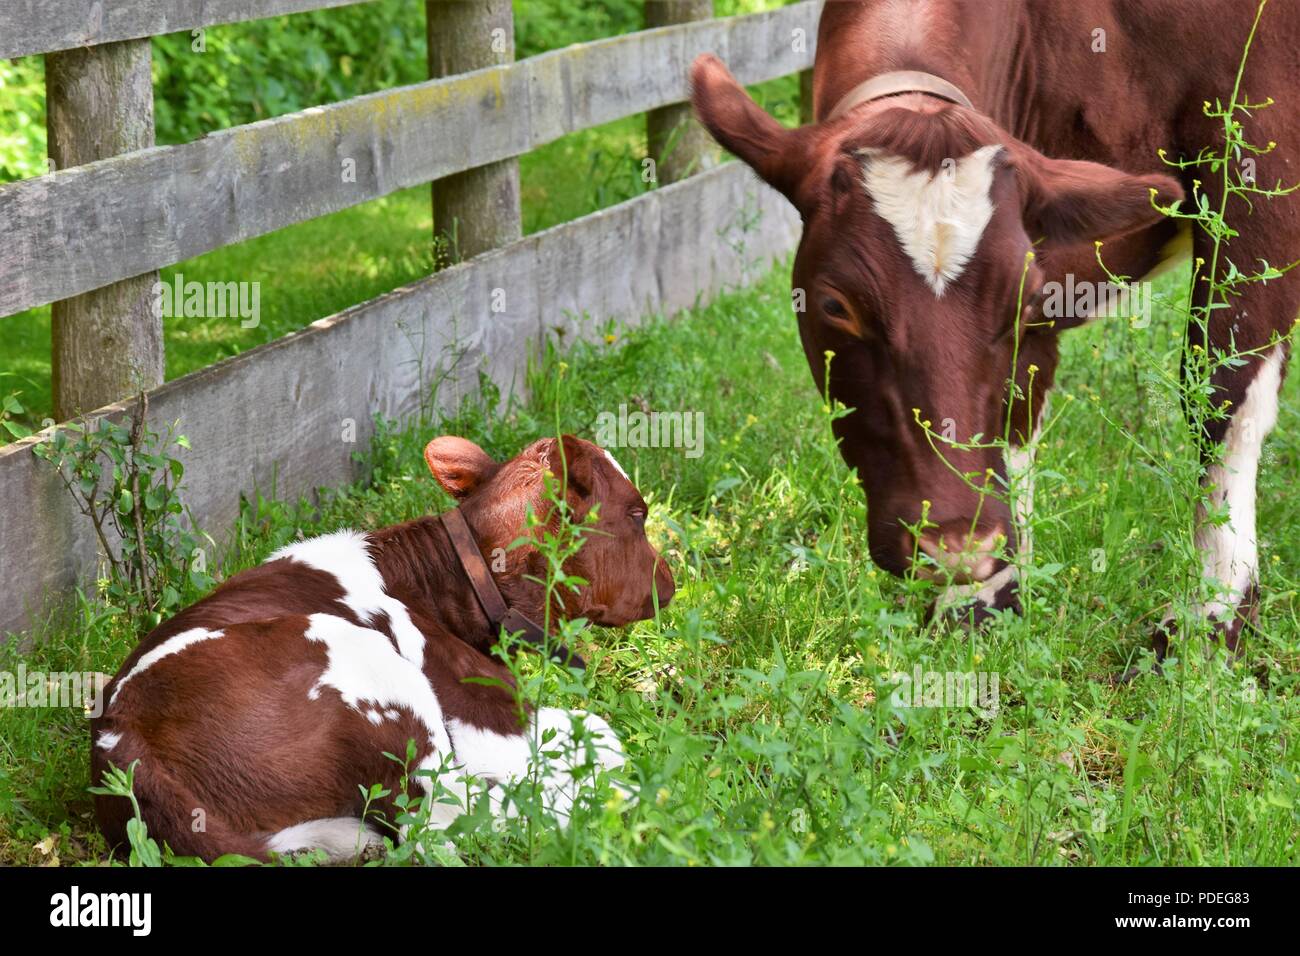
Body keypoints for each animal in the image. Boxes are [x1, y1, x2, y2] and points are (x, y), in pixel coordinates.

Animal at [90, 435, 675, 862]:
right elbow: (602, 734)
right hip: (367, 664)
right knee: (442, 819)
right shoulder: (485, 713)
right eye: (637, 512)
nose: (669, 583)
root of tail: (124, 741)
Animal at [691, 0, 1299, 653]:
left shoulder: (1256, 164)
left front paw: (1214, 610)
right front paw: (982, 597)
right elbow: (1015, 412)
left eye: (1020, 300)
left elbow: (1220, 388)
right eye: (834, 306)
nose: (955, 547)